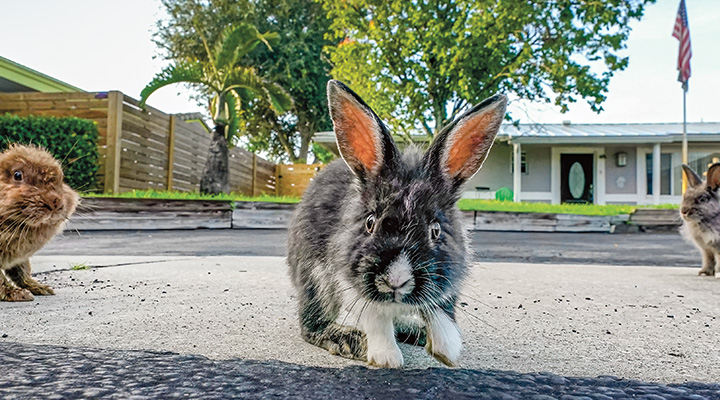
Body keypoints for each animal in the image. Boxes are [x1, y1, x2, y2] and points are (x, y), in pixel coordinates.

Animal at [0, 144, 79, 301]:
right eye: (17, 175)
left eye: (61, 179)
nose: (55, 202)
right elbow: (1, 280)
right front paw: (18, 294)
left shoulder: (19, 257)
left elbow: (22, 271)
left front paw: (41, 288)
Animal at [287, 80, 506, 368]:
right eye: (370, 223)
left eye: (435, 230)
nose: (396, 281)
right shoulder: (351, 280)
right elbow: (376, 318)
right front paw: (386, 357)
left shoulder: (446, 282)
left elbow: (440, 313)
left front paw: (446, 349)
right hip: (315, 279)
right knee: (312, 324)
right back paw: (349, 340)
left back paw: (414, 330)